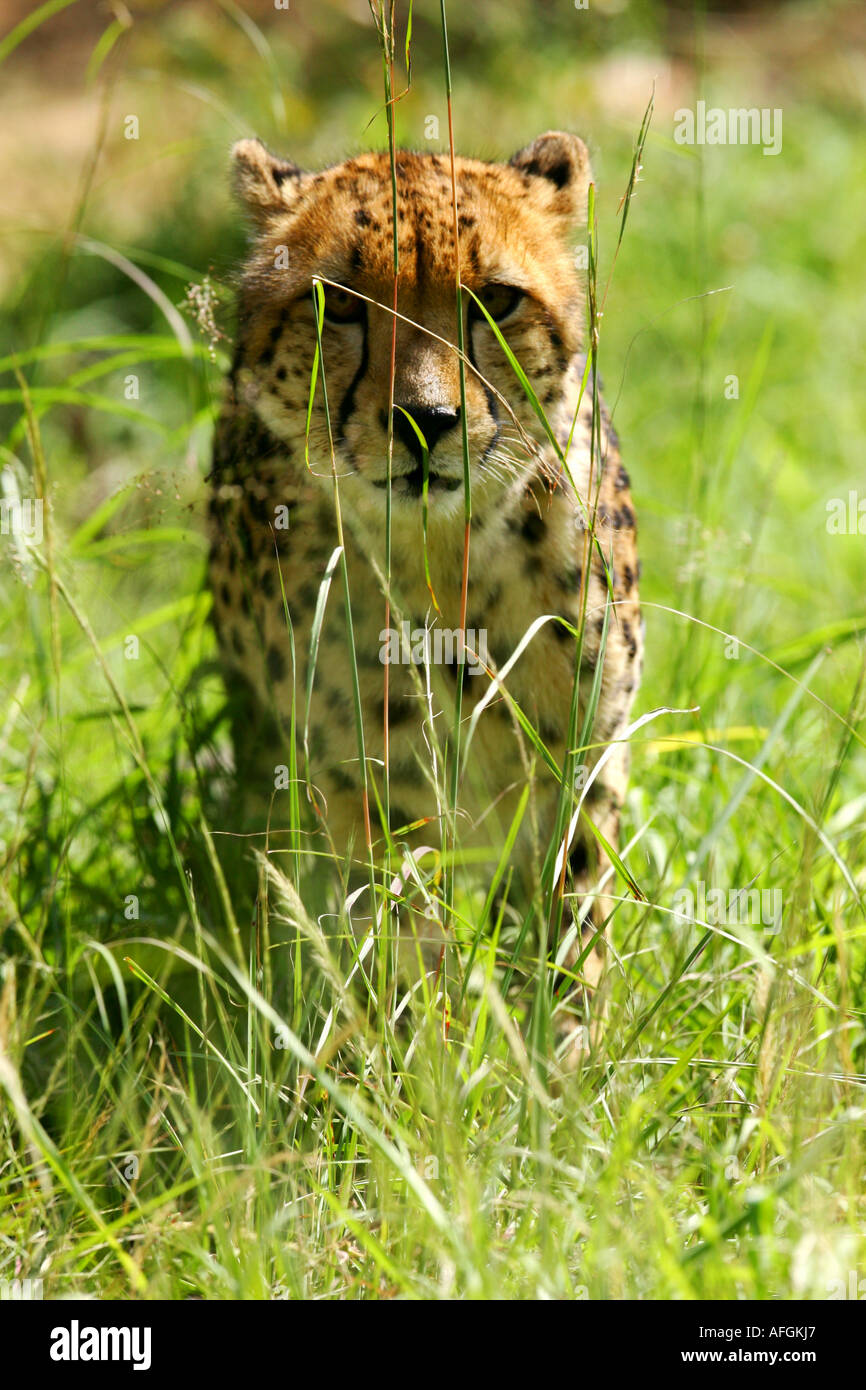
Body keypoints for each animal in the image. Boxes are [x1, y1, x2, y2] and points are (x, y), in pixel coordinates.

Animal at [206, 131, 643, 1060]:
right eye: (337, 304)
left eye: (499, 301)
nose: (424, 420)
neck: (446, 563)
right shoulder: (363, 788)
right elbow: (402, 936)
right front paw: (430, 1069)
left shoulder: (583, 756)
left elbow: (573, 910)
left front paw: (567, 1058)